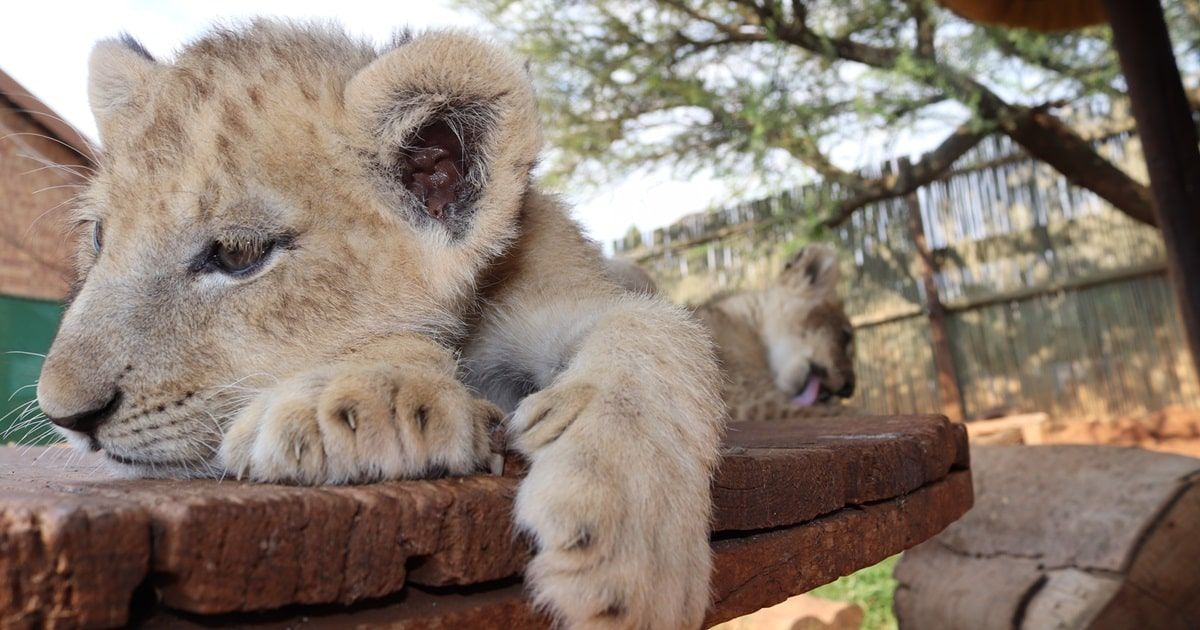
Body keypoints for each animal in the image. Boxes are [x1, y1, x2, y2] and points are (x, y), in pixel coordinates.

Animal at [36, 22, 723, 629]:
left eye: (236, 254)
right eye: (98, 238)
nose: (66, 417)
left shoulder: (572, 291)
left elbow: (659, 328)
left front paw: (631, 549)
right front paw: (358, 394)